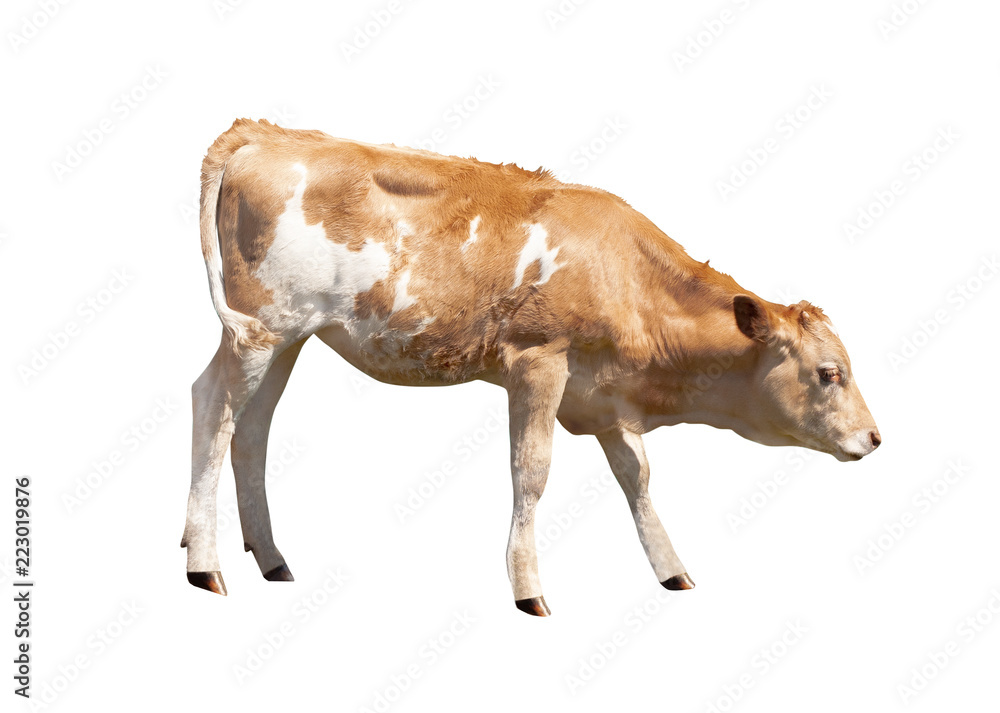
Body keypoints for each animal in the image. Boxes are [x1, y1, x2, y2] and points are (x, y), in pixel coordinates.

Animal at [181, 119, 881, 616]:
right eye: (829, 373)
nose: (874, 438)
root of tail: (264, 131)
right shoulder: (538, 361)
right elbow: (532, 473)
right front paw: (528, 588)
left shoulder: (606, 400)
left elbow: (638, 479)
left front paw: (672, 570)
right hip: (260, 329)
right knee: (213, 409)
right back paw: (205, 564)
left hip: (287, 338)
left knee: (252, 427)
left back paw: (270, 557)